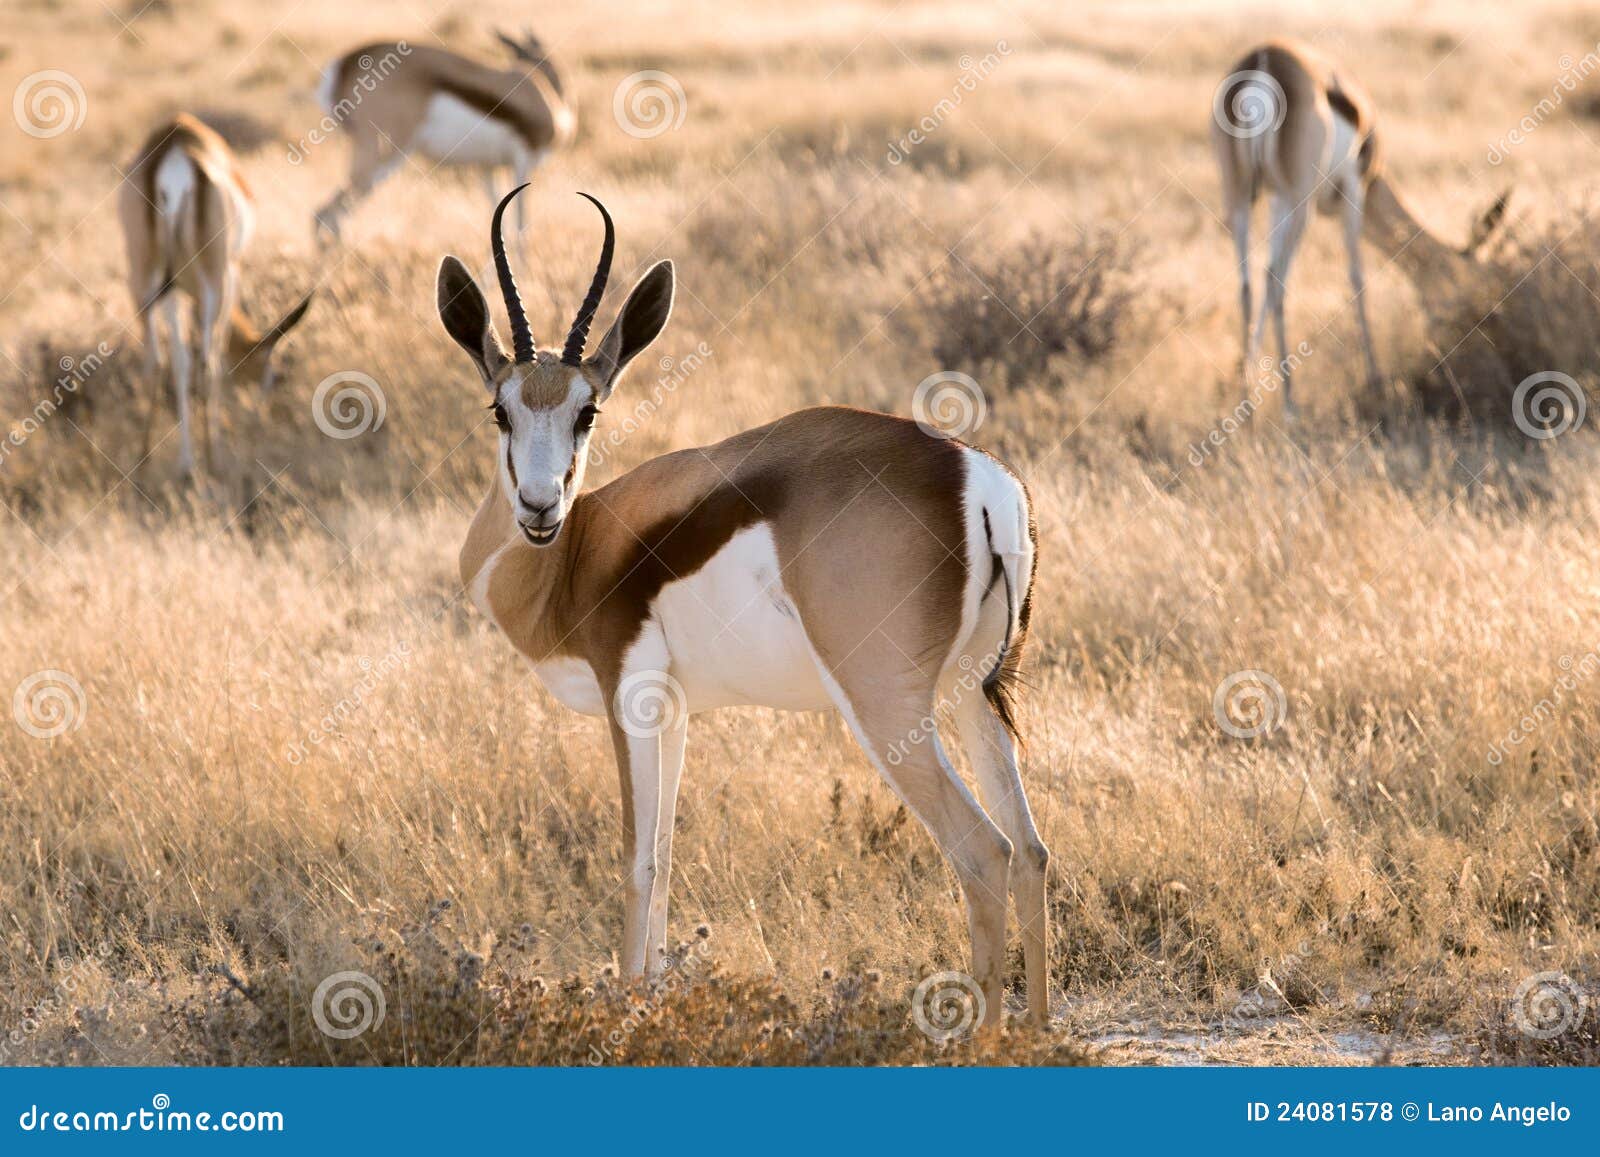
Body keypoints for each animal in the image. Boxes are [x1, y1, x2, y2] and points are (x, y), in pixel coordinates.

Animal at [119, 115, 313, 477]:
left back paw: (151, 461)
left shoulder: (175, 292)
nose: (261, 417)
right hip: (215, 281)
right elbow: (216, 355)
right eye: (270, 376)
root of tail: (176, 153)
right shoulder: (230, 277)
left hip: (142, 280)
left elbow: (181, 358)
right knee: (207, 360)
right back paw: (212, 459)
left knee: (159, 361)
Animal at [313, 31, 575, 243]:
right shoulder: (522, 162)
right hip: (384, 156)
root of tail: (345, 64)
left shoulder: (486, 168)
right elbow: (520, 229)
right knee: (328, 216)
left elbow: (500, 227)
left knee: (324, 216)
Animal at [440, 186, 1051, 1026]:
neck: (575, 556)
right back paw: (1045, 1032)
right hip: (970, 695)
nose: (538, 507)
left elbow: (635, 861)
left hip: (887, 707)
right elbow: (666, 861)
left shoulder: (627, 695)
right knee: (1032, 850)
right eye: (500, 409)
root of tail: (975, 475)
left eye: (587, 411)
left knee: (984, 851)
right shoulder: (675, 711)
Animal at [1212, 38, 1510, 413]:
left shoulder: (1277, 199)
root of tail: (1263, 58)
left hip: (1241, 194)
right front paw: (1374, 381)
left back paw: (1248, 404)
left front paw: (1247, 380)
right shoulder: (1354, 191)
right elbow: (1357, 279)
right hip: (1300, 201)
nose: (1473, 331)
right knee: (1275, 277)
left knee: (1249, 284)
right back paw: (1291, 405)